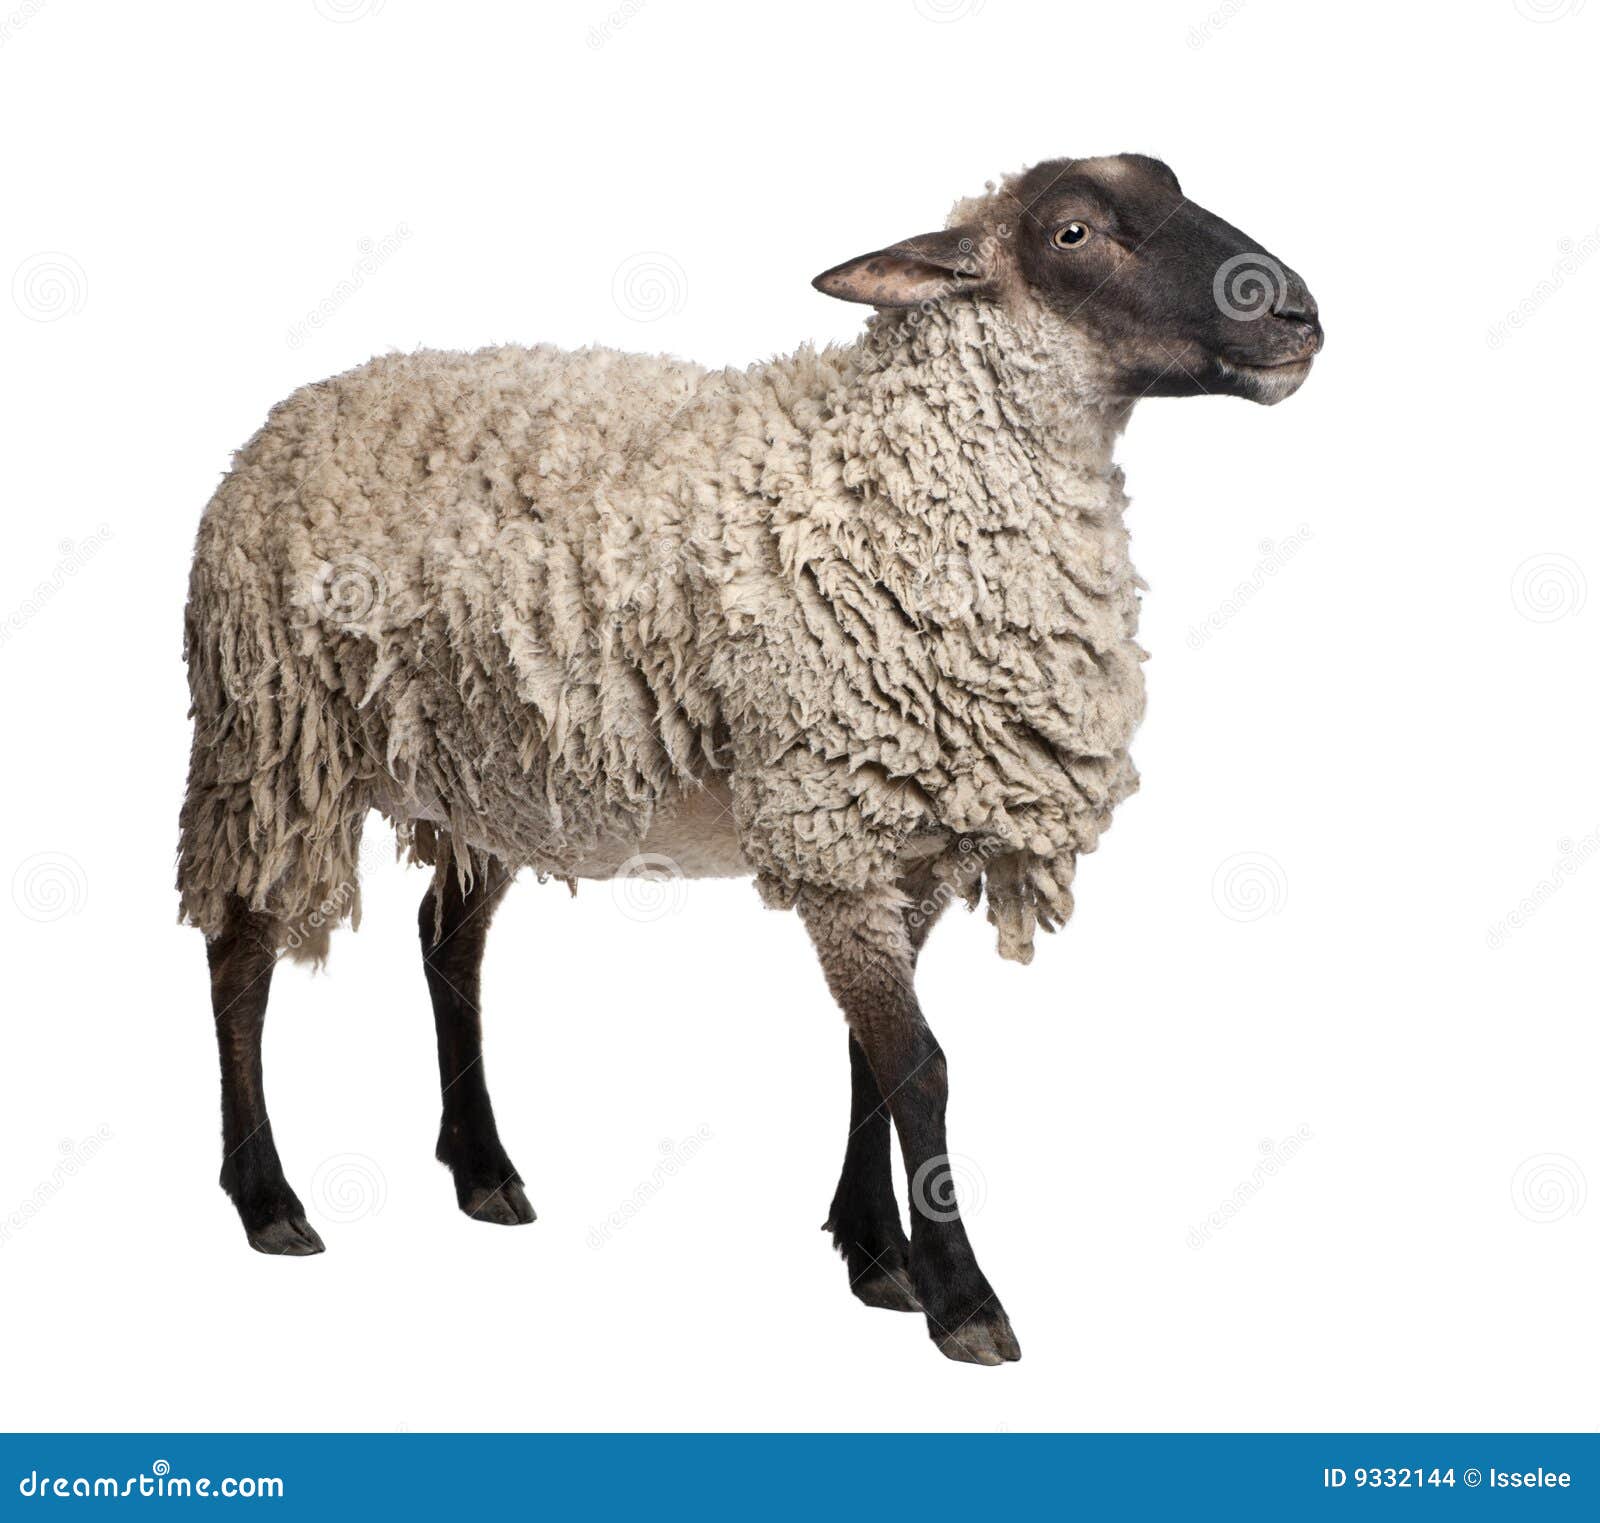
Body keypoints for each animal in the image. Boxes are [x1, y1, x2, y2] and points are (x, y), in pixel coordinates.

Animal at [178, 154, 1321, 1364]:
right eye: (1072, 232)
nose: (1297, 315)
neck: (898, 482)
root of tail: (284, 419)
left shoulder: (905, 843)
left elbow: (873, 1057)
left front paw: (874, 1251)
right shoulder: (830, 826)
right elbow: (921, 1066)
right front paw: (963, 1298)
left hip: (486, 763)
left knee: (447, 940)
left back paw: (483, 1170)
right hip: (269, 741)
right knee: (240, 955)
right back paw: (268, 1198)